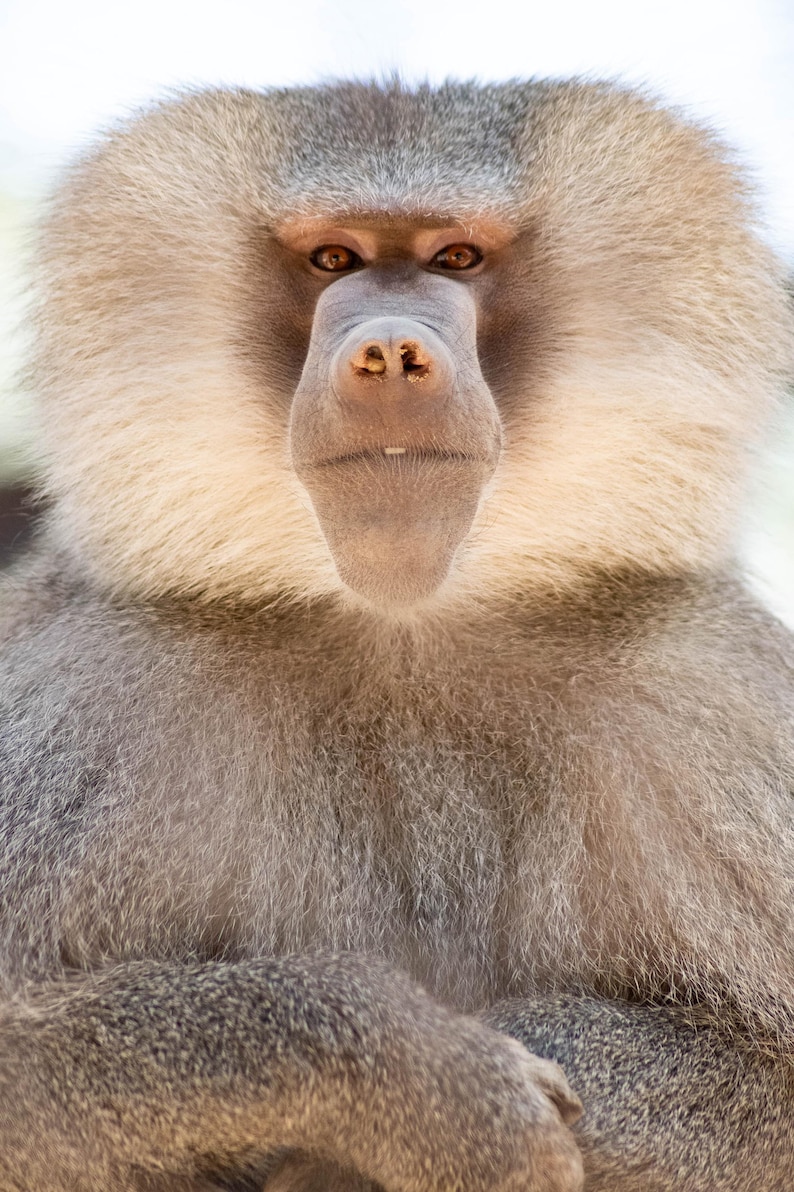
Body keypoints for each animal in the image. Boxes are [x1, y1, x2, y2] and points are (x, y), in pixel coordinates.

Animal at [0, 75, 793, 1192]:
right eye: (333, 259)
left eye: (455, 258)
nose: (386, 353)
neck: (403, 631)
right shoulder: (92, 693)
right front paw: (437, 1088)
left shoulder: (701, 696)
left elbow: (770, 1081)